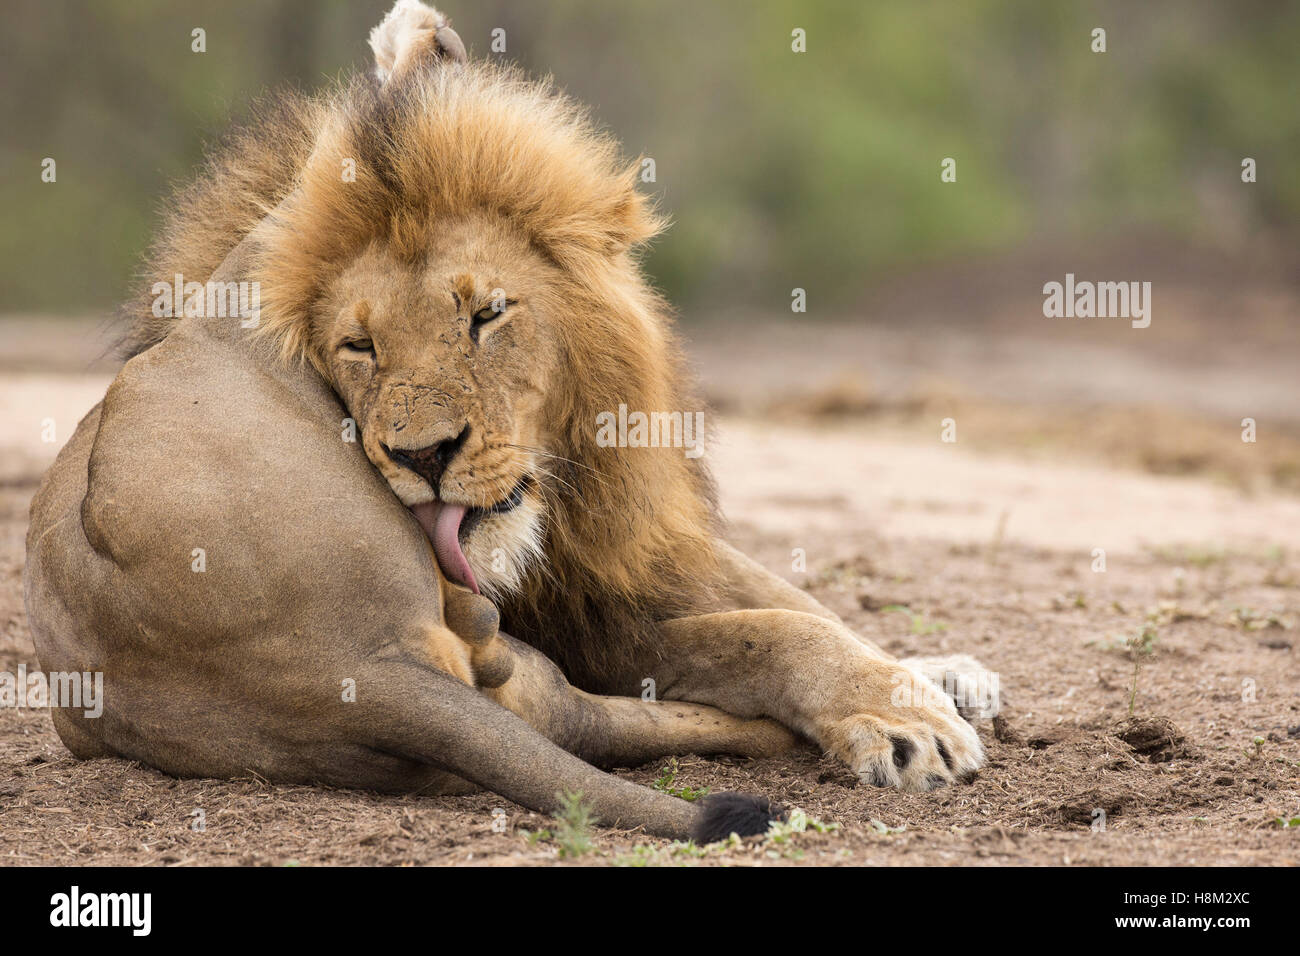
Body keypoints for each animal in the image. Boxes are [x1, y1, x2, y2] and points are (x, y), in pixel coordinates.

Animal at [25, 1, 988, 842]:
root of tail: (339, 669)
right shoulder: (580, 611)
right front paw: (899, 717)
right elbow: (756, 632)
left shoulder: (614, 546)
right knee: (617, 724)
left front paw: (939, 673)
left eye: (486, 315)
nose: (423, 456)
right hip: (525, 666)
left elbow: (779, 592)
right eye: (358, 346)